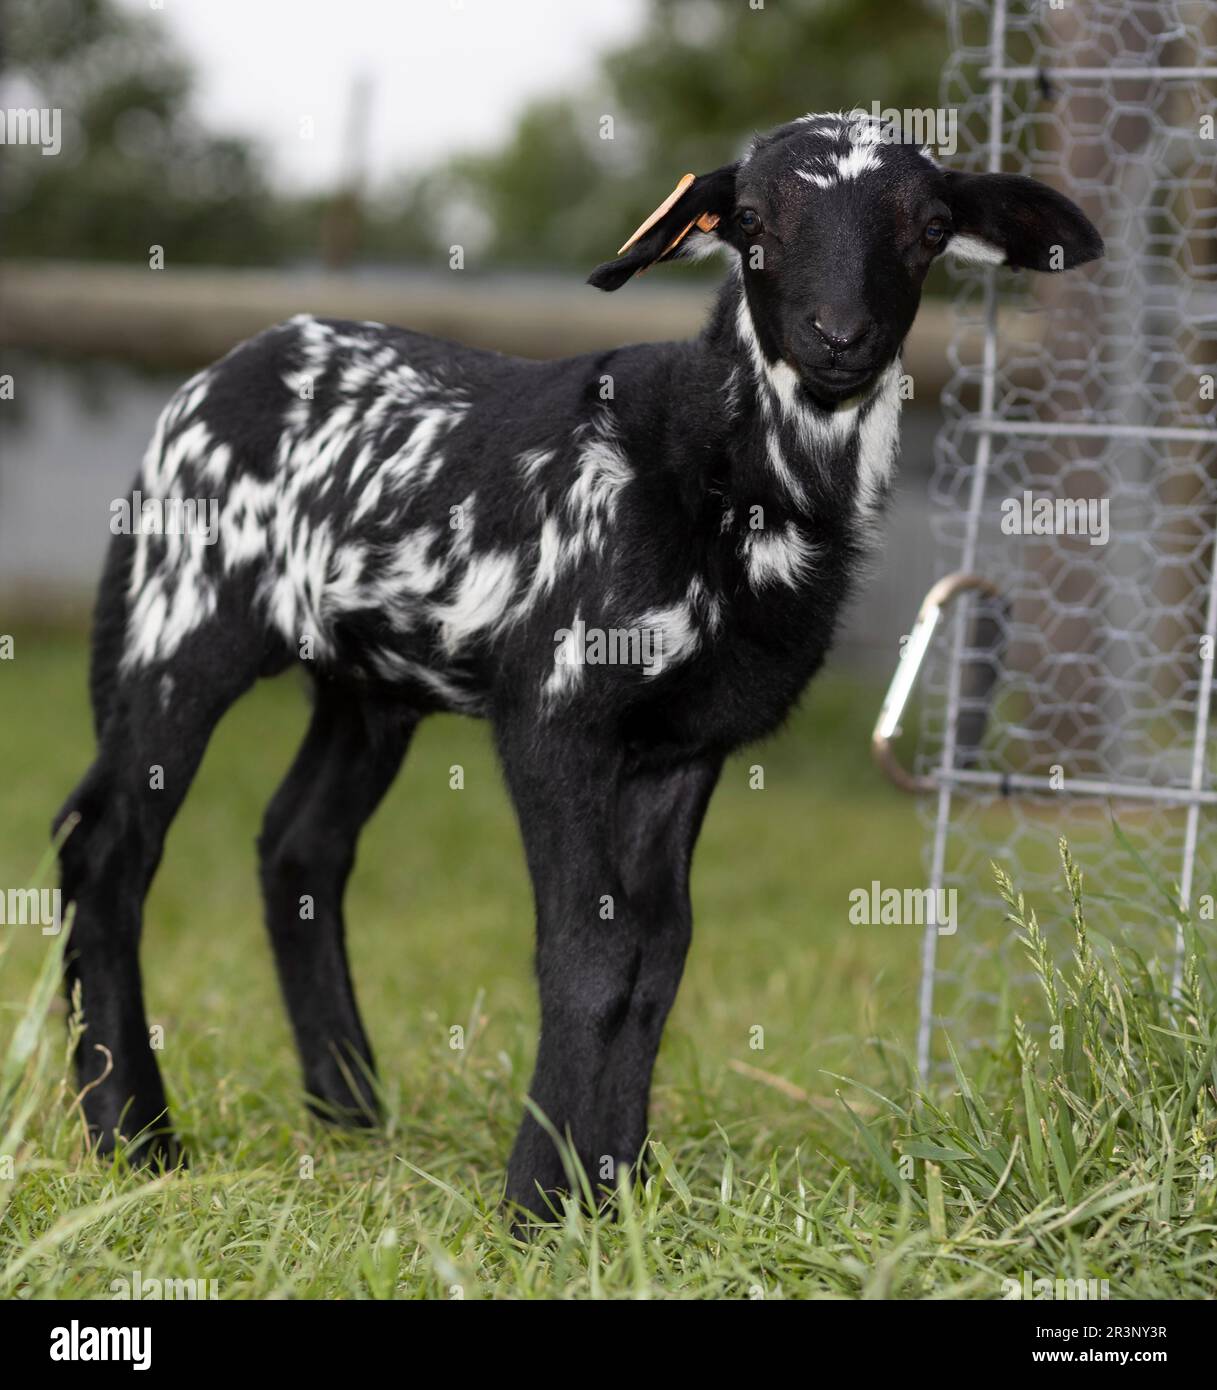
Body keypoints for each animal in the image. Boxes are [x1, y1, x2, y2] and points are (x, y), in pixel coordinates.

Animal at [54, 111, 1102, 1221]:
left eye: (930, 228)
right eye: (751, 220)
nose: (837, 336)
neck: (711, 469)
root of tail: (215, 376)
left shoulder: (683, 746)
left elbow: (658, 954)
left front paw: (611, 1194)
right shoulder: (554, 714)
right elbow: (590, 955)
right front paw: (534, 1203)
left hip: (365, 683)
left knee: (299, 844)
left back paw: (348, 1112)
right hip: (177, 626)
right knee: (105, 849)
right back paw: (134, 1135)